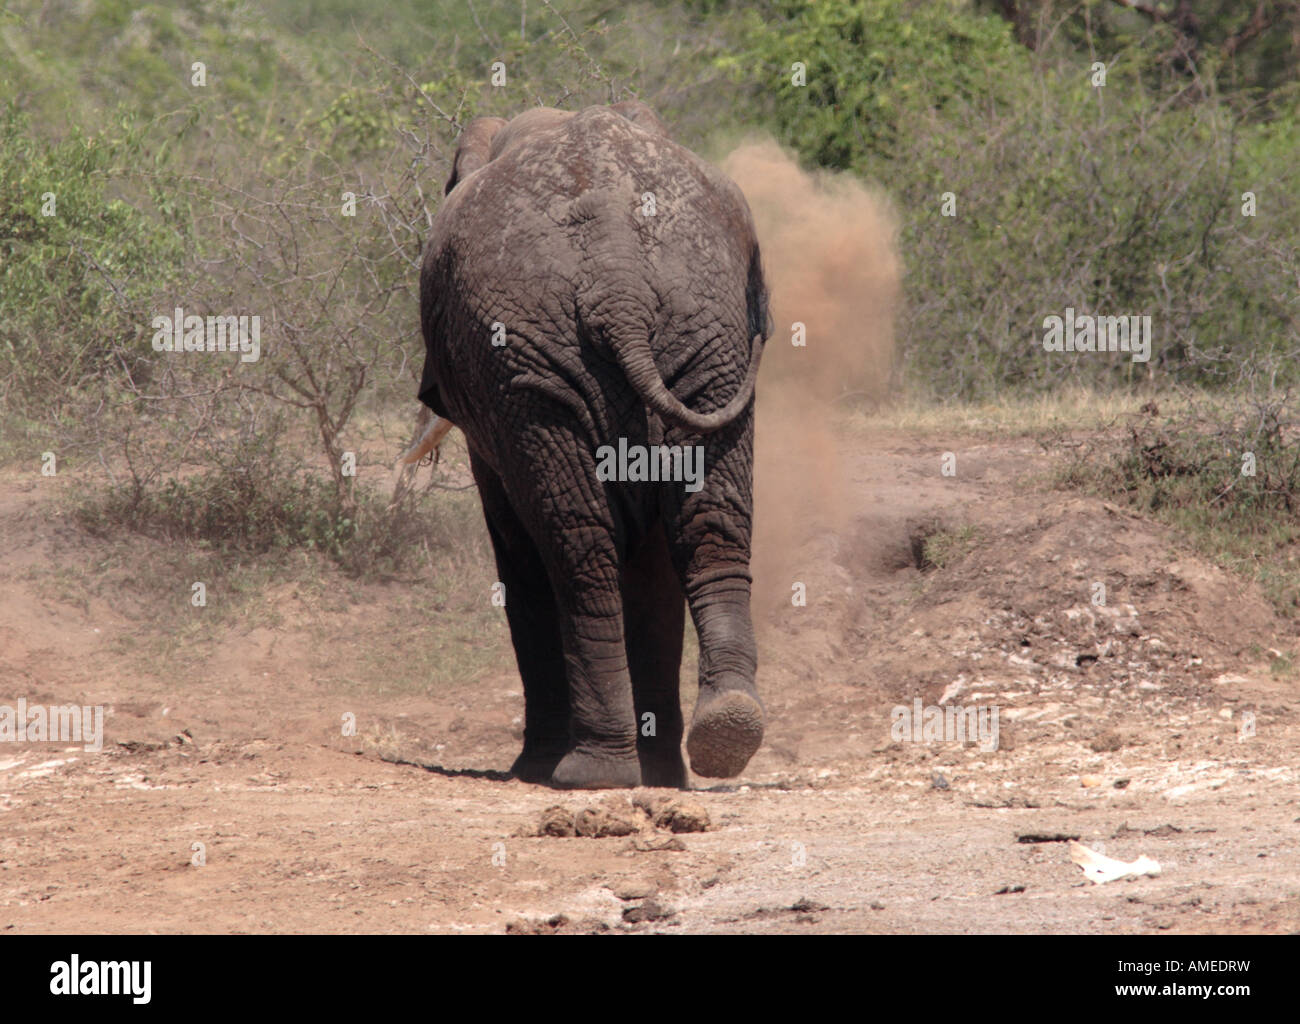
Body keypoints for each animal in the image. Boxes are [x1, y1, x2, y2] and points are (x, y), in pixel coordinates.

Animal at [417, 101, 770, 789]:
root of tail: (618, 278)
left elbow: (520, 552)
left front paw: (534, 768)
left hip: (532, 368)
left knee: (574, 549)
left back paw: (585, 773)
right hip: (705, 335)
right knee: (705, 526)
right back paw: (723, 733)